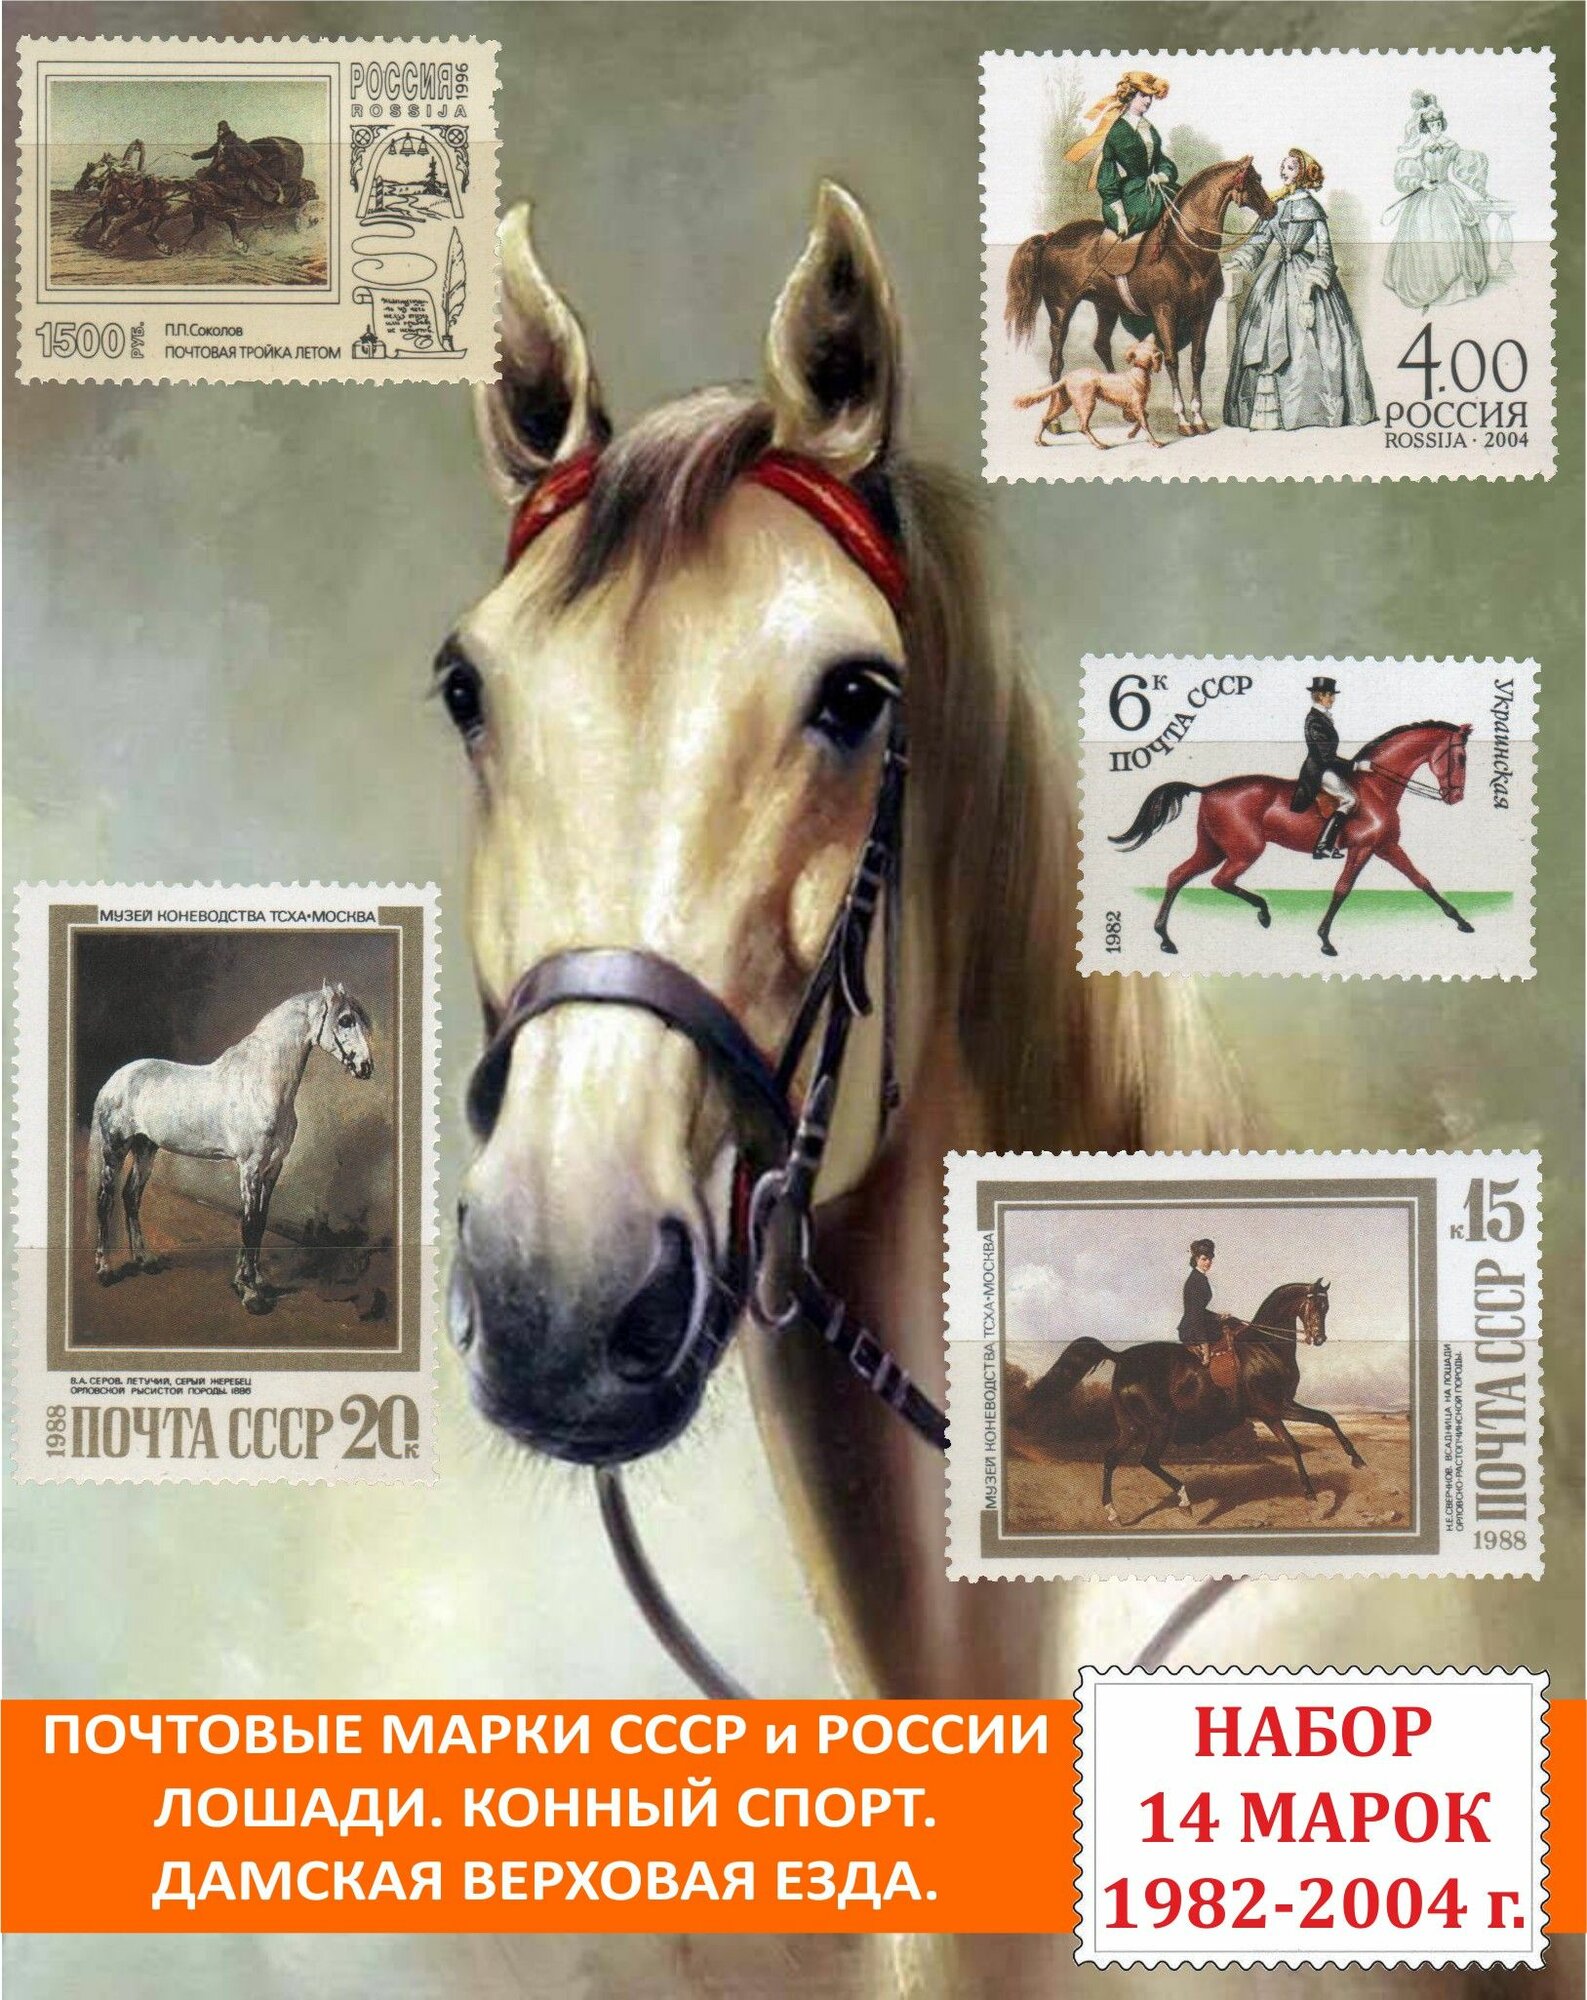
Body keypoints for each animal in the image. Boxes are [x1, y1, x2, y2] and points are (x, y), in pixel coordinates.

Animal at [88, 983, 373, 1314]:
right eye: (345, 1020)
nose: (366, 1067)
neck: (262, 1086)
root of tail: (115, 1080)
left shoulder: (272, 1168)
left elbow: (259, 1223)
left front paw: (255, 1280)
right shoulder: (250, 1168)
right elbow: (248, 1225)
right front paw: (250, 1294)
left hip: (146, 1148)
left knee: (131, 1197)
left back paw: (145, 1260)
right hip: (115, 1149)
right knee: (105, 1200)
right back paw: (105, 1271)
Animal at [1004, 156, 1274, 437]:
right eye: (1253, 180)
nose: (1272, 209)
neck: (1184, 251)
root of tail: (1051, 238)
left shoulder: (1204, 311)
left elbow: (1197, 361)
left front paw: (1199, 417)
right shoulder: (1165, 312)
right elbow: (1172, 360)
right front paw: (1183, 419)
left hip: (1106, 307)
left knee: (1101, 344)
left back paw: (1123, 407)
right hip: (1060, 310)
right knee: (1056, 360)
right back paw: (1056, 421)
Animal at [1024, 1279, 1363, 1519]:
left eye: (1326, 1307)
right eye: (1314, 1305)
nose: (1319, 1339)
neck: (1264, 1347)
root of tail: (1121, 1357)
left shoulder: (1270, 1413)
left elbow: (1296, 1442)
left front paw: (1315, 1491)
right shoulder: (1278, 1406)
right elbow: (1325, 1419)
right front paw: (1353, 1461)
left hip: (1131, 1426)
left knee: (1111, 1458)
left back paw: (1112, 1513)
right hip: (1160, 1423)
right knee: (1147, 1460)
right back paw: (1185, 1501)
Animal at [1112, 719, 1476, 956]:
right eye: (1460, 757)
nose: (1456, 798)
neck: (1375, 788)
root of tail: (1209, 789)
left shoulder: (1386, 846)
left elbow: (1422, 881)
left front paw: (1462, 922)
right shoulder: (1362, 848)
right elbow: (1343, 889)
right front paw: (1325, 941)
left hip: (1213, 848)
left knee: (1178, 876)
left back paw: (1166, 939)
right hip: (1245, 851)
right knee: (1219, 881)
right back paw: (1263, 912)